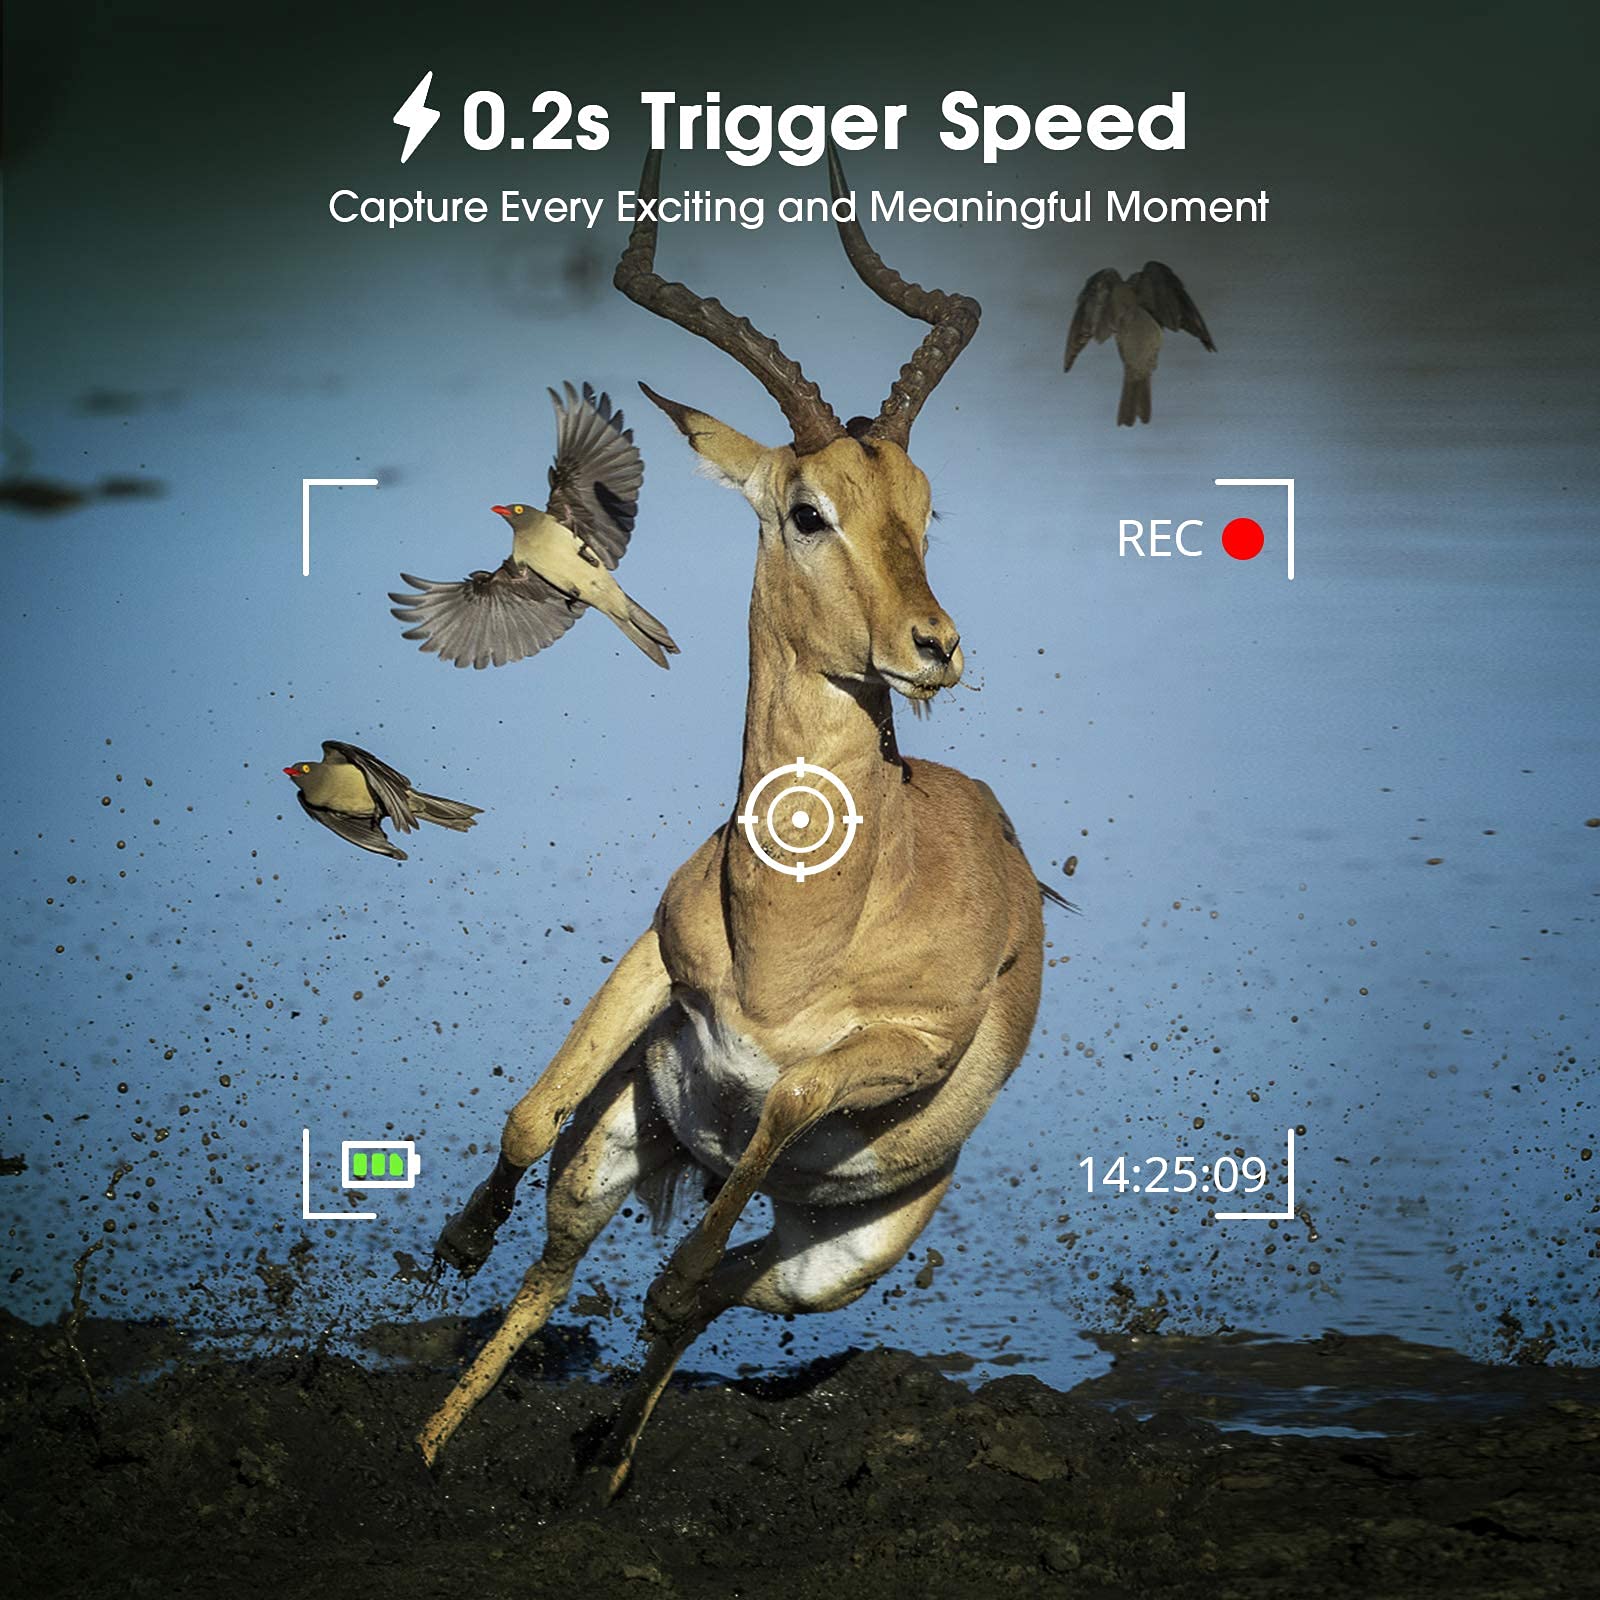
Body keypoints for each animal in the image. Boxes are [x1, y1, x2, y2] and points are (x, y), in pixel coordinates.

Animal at [416, 147, 1062, 1501]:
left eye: (926, 503)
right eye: (808, 509)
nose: (934, 646)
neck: (802, 928)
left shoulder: (872, 1059)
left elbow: (767, 1131)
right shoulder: (657, 964)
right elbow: (526, 1117)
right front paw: (452, 1242)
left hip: (840, 1254)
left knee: (718, 1289)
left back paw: (606, 1466)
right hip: (638, 1129)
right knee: (571, 1239)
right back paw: (439, 1440)